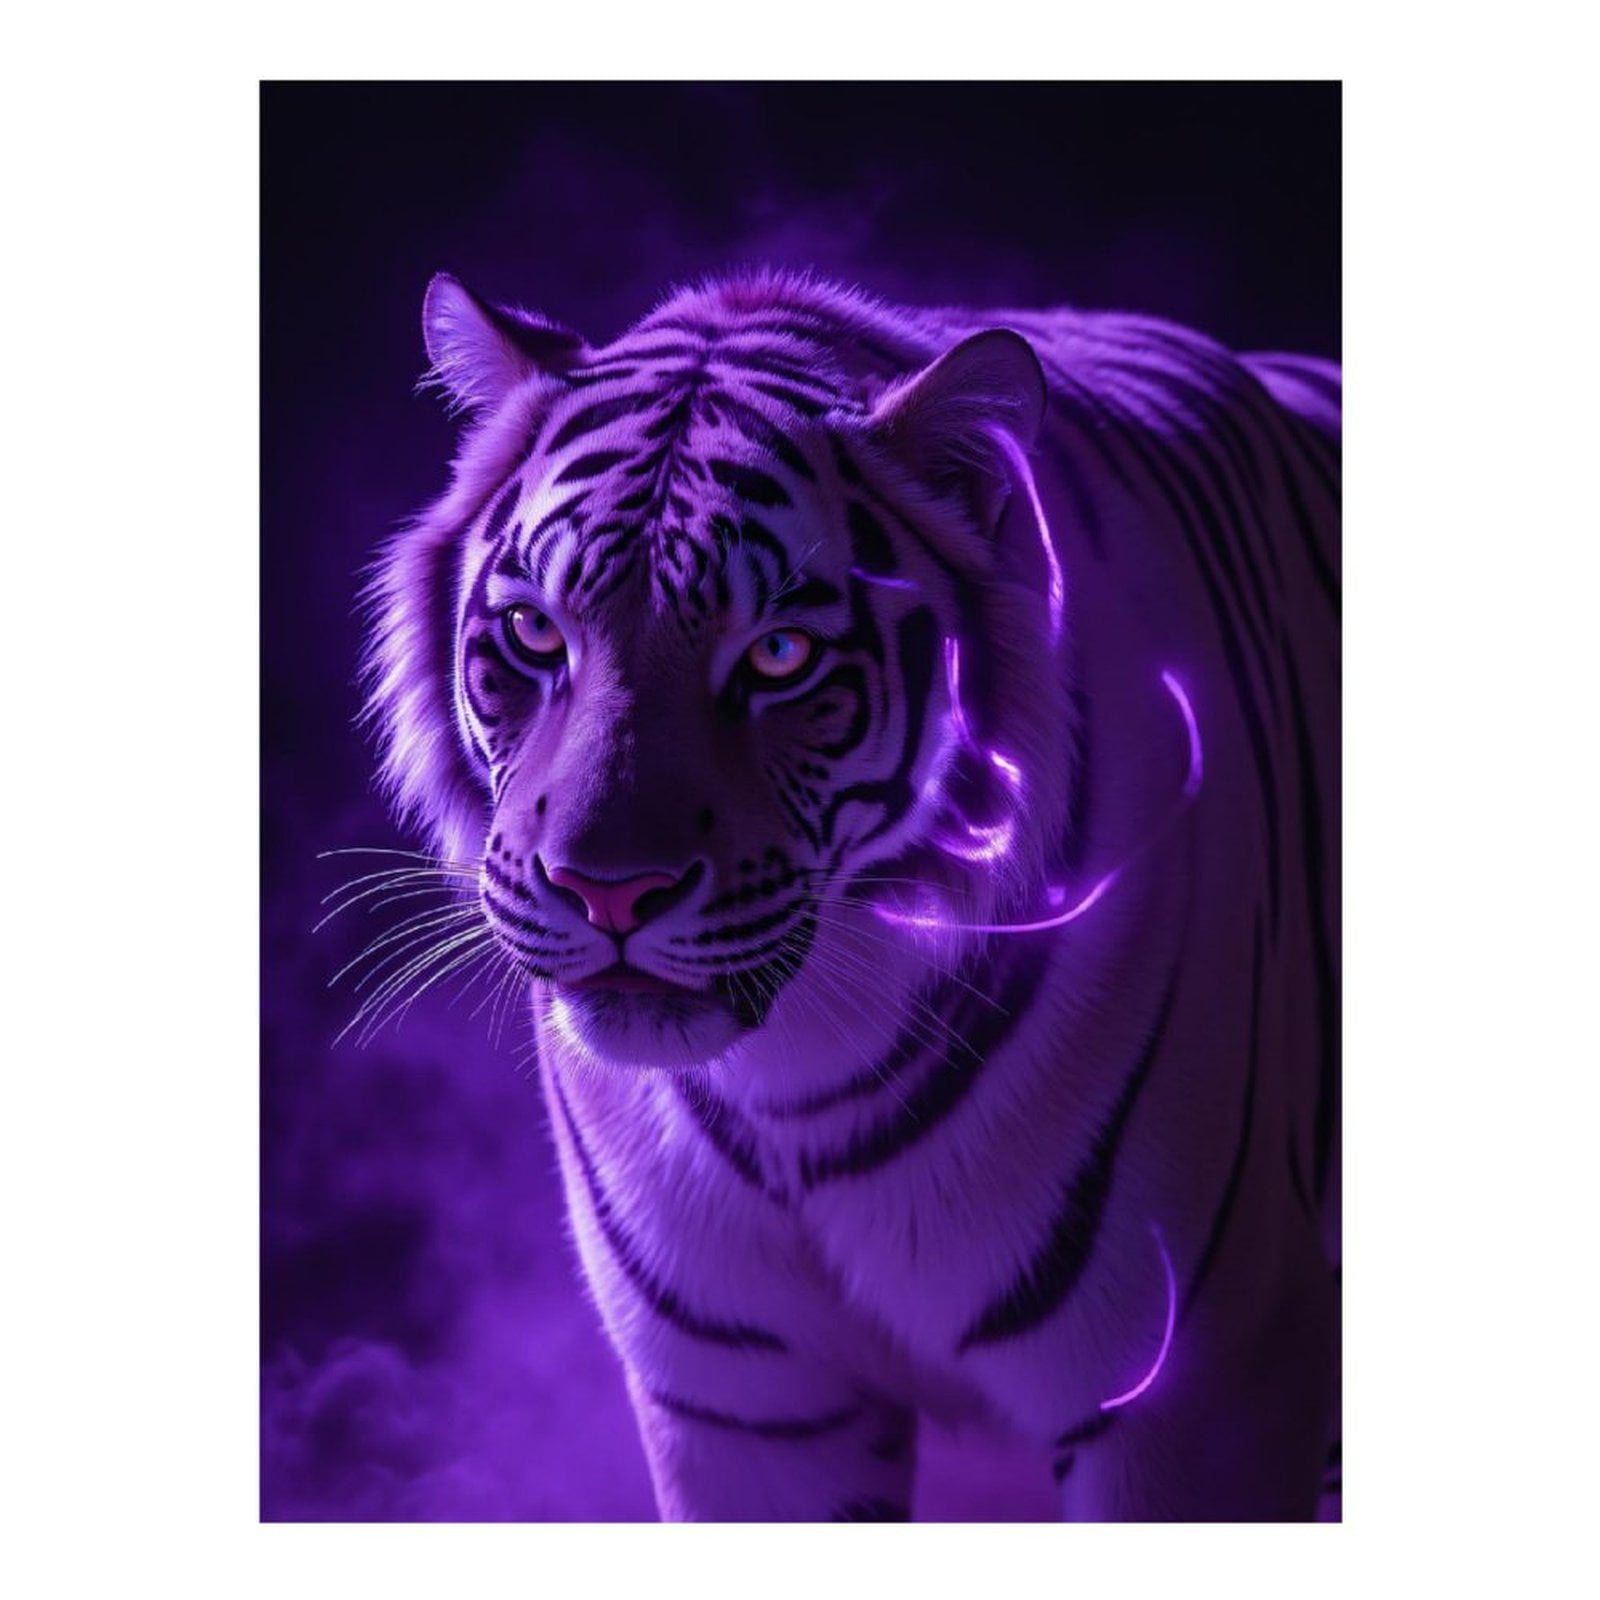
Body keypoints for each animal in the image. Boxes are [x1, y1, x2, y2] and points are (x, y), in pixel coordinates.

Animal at [359, 266, 1341, 1521]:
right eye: (536, 633)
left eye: (778, 657)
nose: (605, 893)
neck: (795, 1088)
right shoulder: (746, 1411)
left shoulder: (1199, 1396)